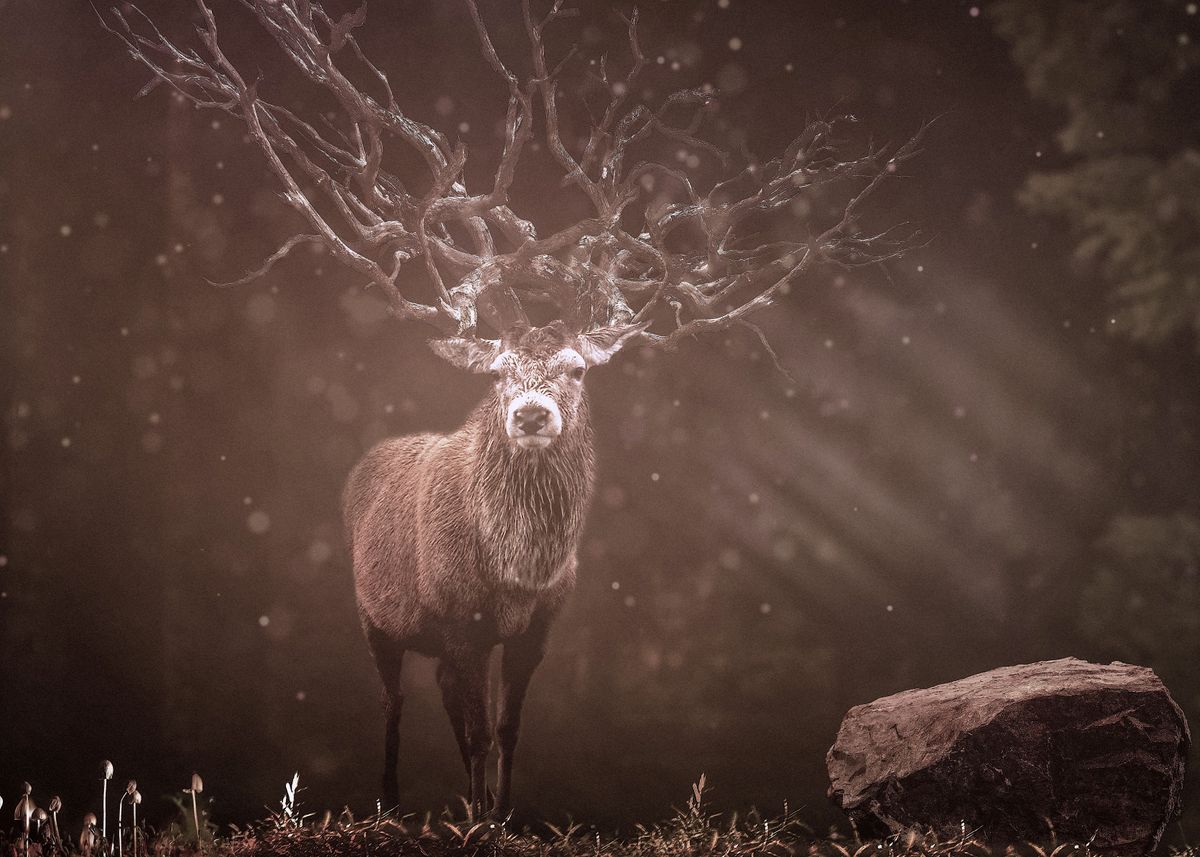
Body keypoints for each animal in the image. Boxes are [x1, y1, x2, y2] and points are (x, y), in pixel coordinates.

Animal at [108, 0, 925, 820]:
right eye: (500, 372)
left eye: (575, 368)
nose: (531, 414)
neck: (516, 569)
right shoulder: (456, 623)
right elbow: (469, 730)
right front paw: (472, 818)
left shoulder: (537, 628)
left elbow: (506, 727)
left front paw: (502, 813)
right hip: (375, 616)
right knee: (393, 703)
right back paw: (390, 801)